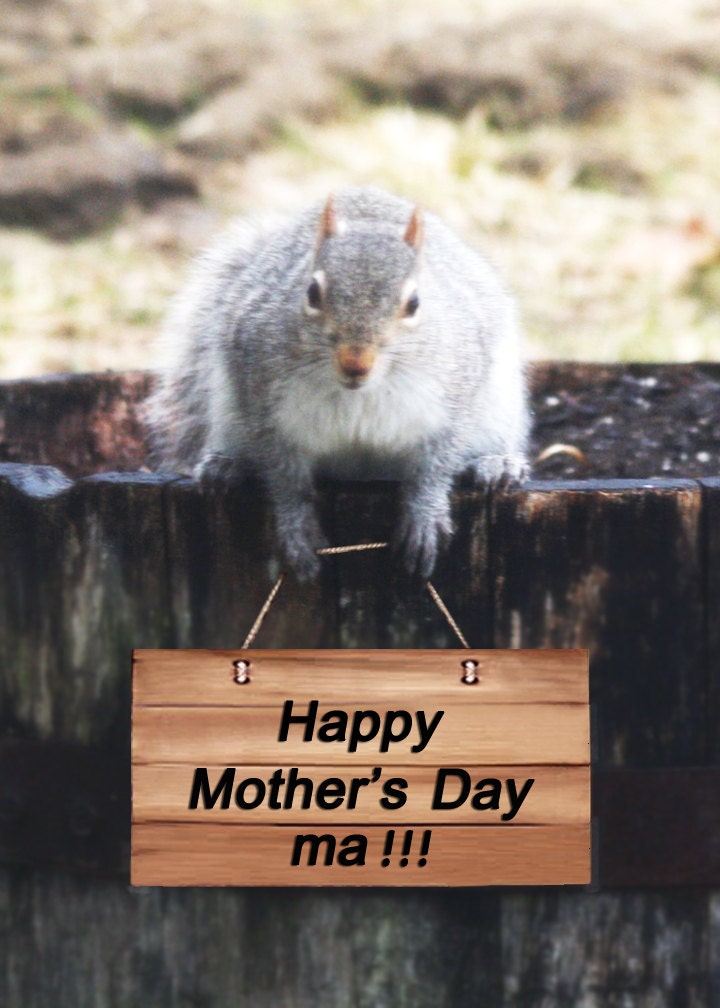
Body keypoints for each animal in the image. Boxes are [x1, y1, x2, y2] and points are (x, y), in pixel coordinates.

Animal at [146, 185, 529, 580]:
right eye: (312, 293)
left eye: (414, 303)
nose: (355, 362)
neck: (362, 392)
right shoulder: (262, 403)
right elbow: (284, 476)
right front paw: (296, 525)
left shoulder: (454, 397)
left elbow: (436, 465)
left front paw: (425, 514)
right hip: (226, 412)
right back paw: (225, 467)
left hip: (500, 407)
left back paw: (497, 464)